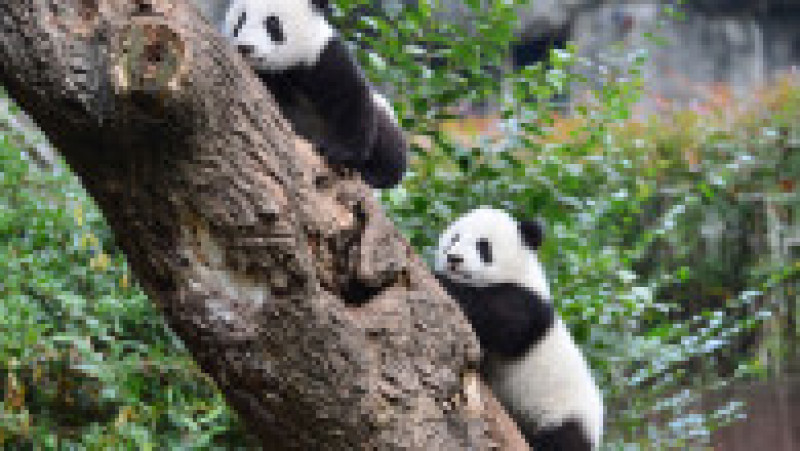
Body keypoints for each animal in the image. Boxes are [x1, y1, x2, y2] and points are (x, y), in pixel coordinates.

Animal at [192, 0, 408, 189]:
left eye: (272, 23)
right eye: (241, 20)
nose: (245, 47)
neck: (287, 70)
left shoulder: (322, 57)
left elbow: (351, 101)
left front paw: (339, 154)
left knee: (389, 142)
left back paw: (375, 175)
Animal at [434, 207, 603, 450]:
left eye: (483, 246)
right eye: (454, 238)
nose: (454, 258)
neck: (518, 272)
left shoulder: (527, 304)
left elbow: (498, 319)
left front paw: (442, 280)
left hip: (564, 413)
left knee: (563, 439)